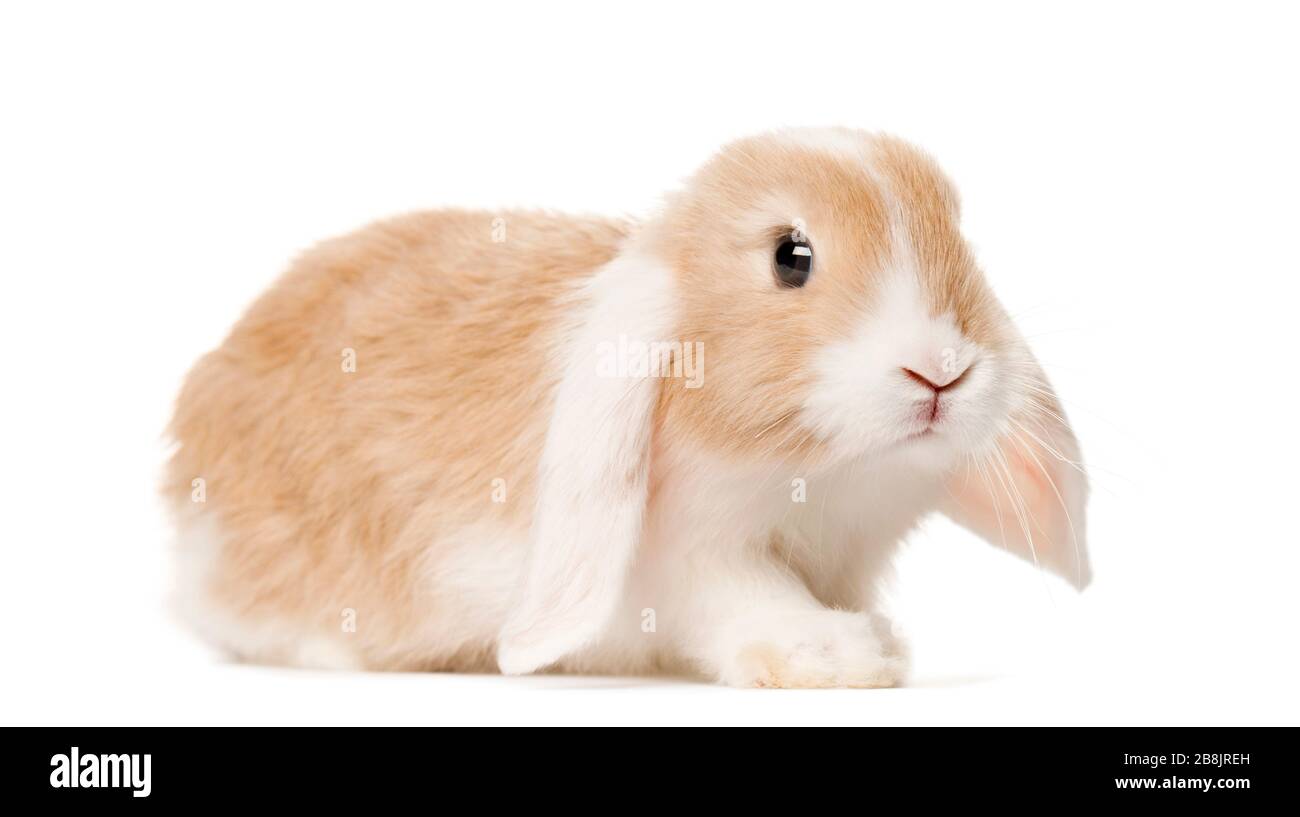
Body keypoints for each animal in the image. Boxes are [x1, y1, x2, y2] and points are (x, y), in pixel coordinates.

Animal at [166, 128, 1088, 688]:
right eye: (791, 257)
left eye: (961, 237)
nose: (942, 368)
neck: (821, 478)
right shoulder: (697, 557)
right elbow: (746, 597)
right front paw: (836, 655)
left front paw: (881, 641)